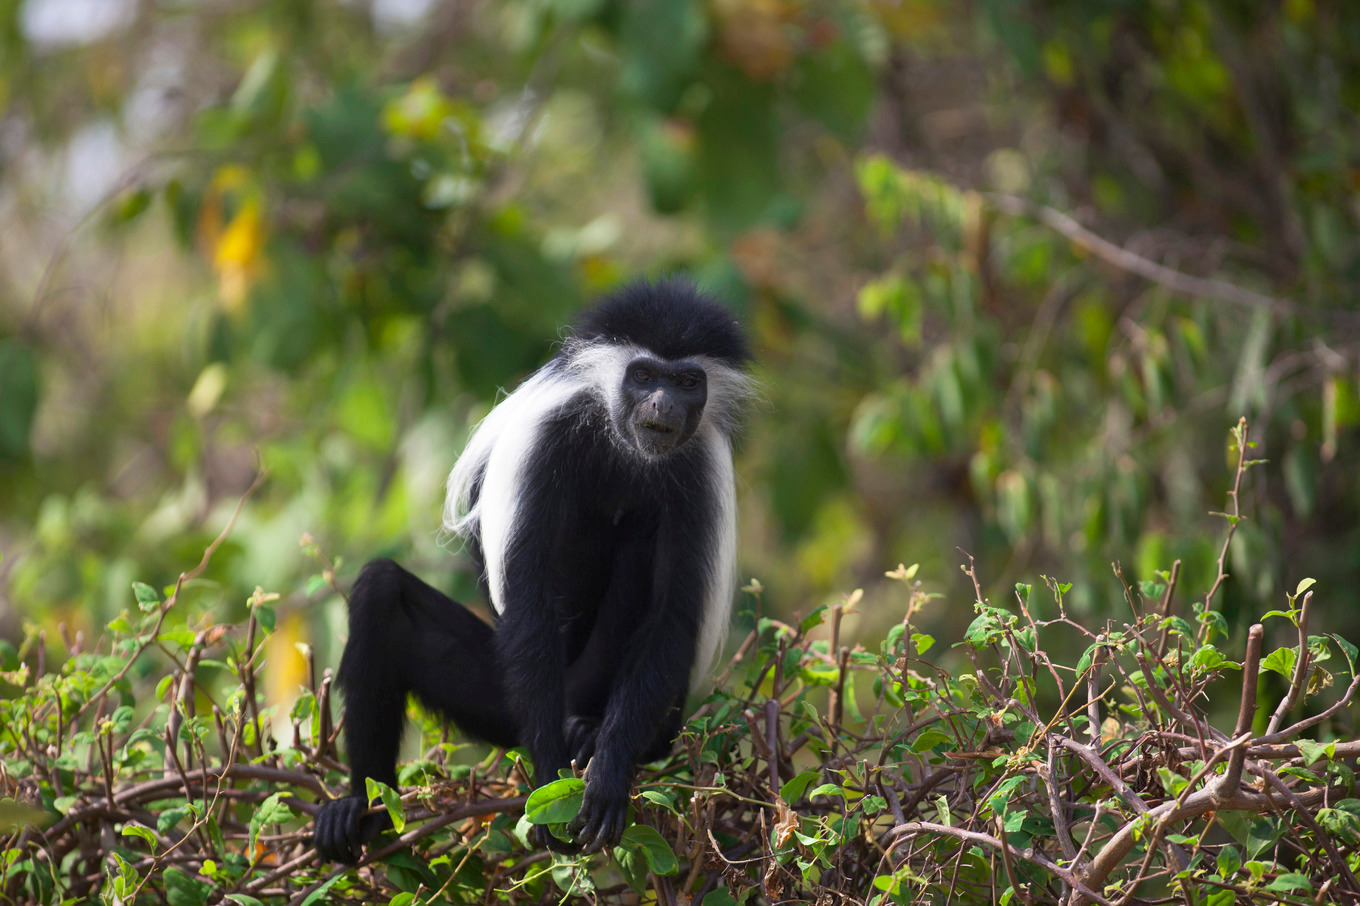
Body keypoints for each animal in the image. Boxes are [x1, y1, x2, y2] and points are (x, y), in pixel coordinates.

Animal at [313, 277, 751, 862]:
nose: (663, 402)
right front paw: (549, 780)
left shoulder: (698, 471)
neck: (623, 447)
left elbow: (671, 616)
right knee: (380, 592)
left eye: (686, 381)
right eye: (643, 376)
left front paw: (609, 777)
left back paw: (591, 733)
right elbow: (529, 600)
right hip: (499, 696)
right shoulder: (546, 440)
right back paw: (362, 810)